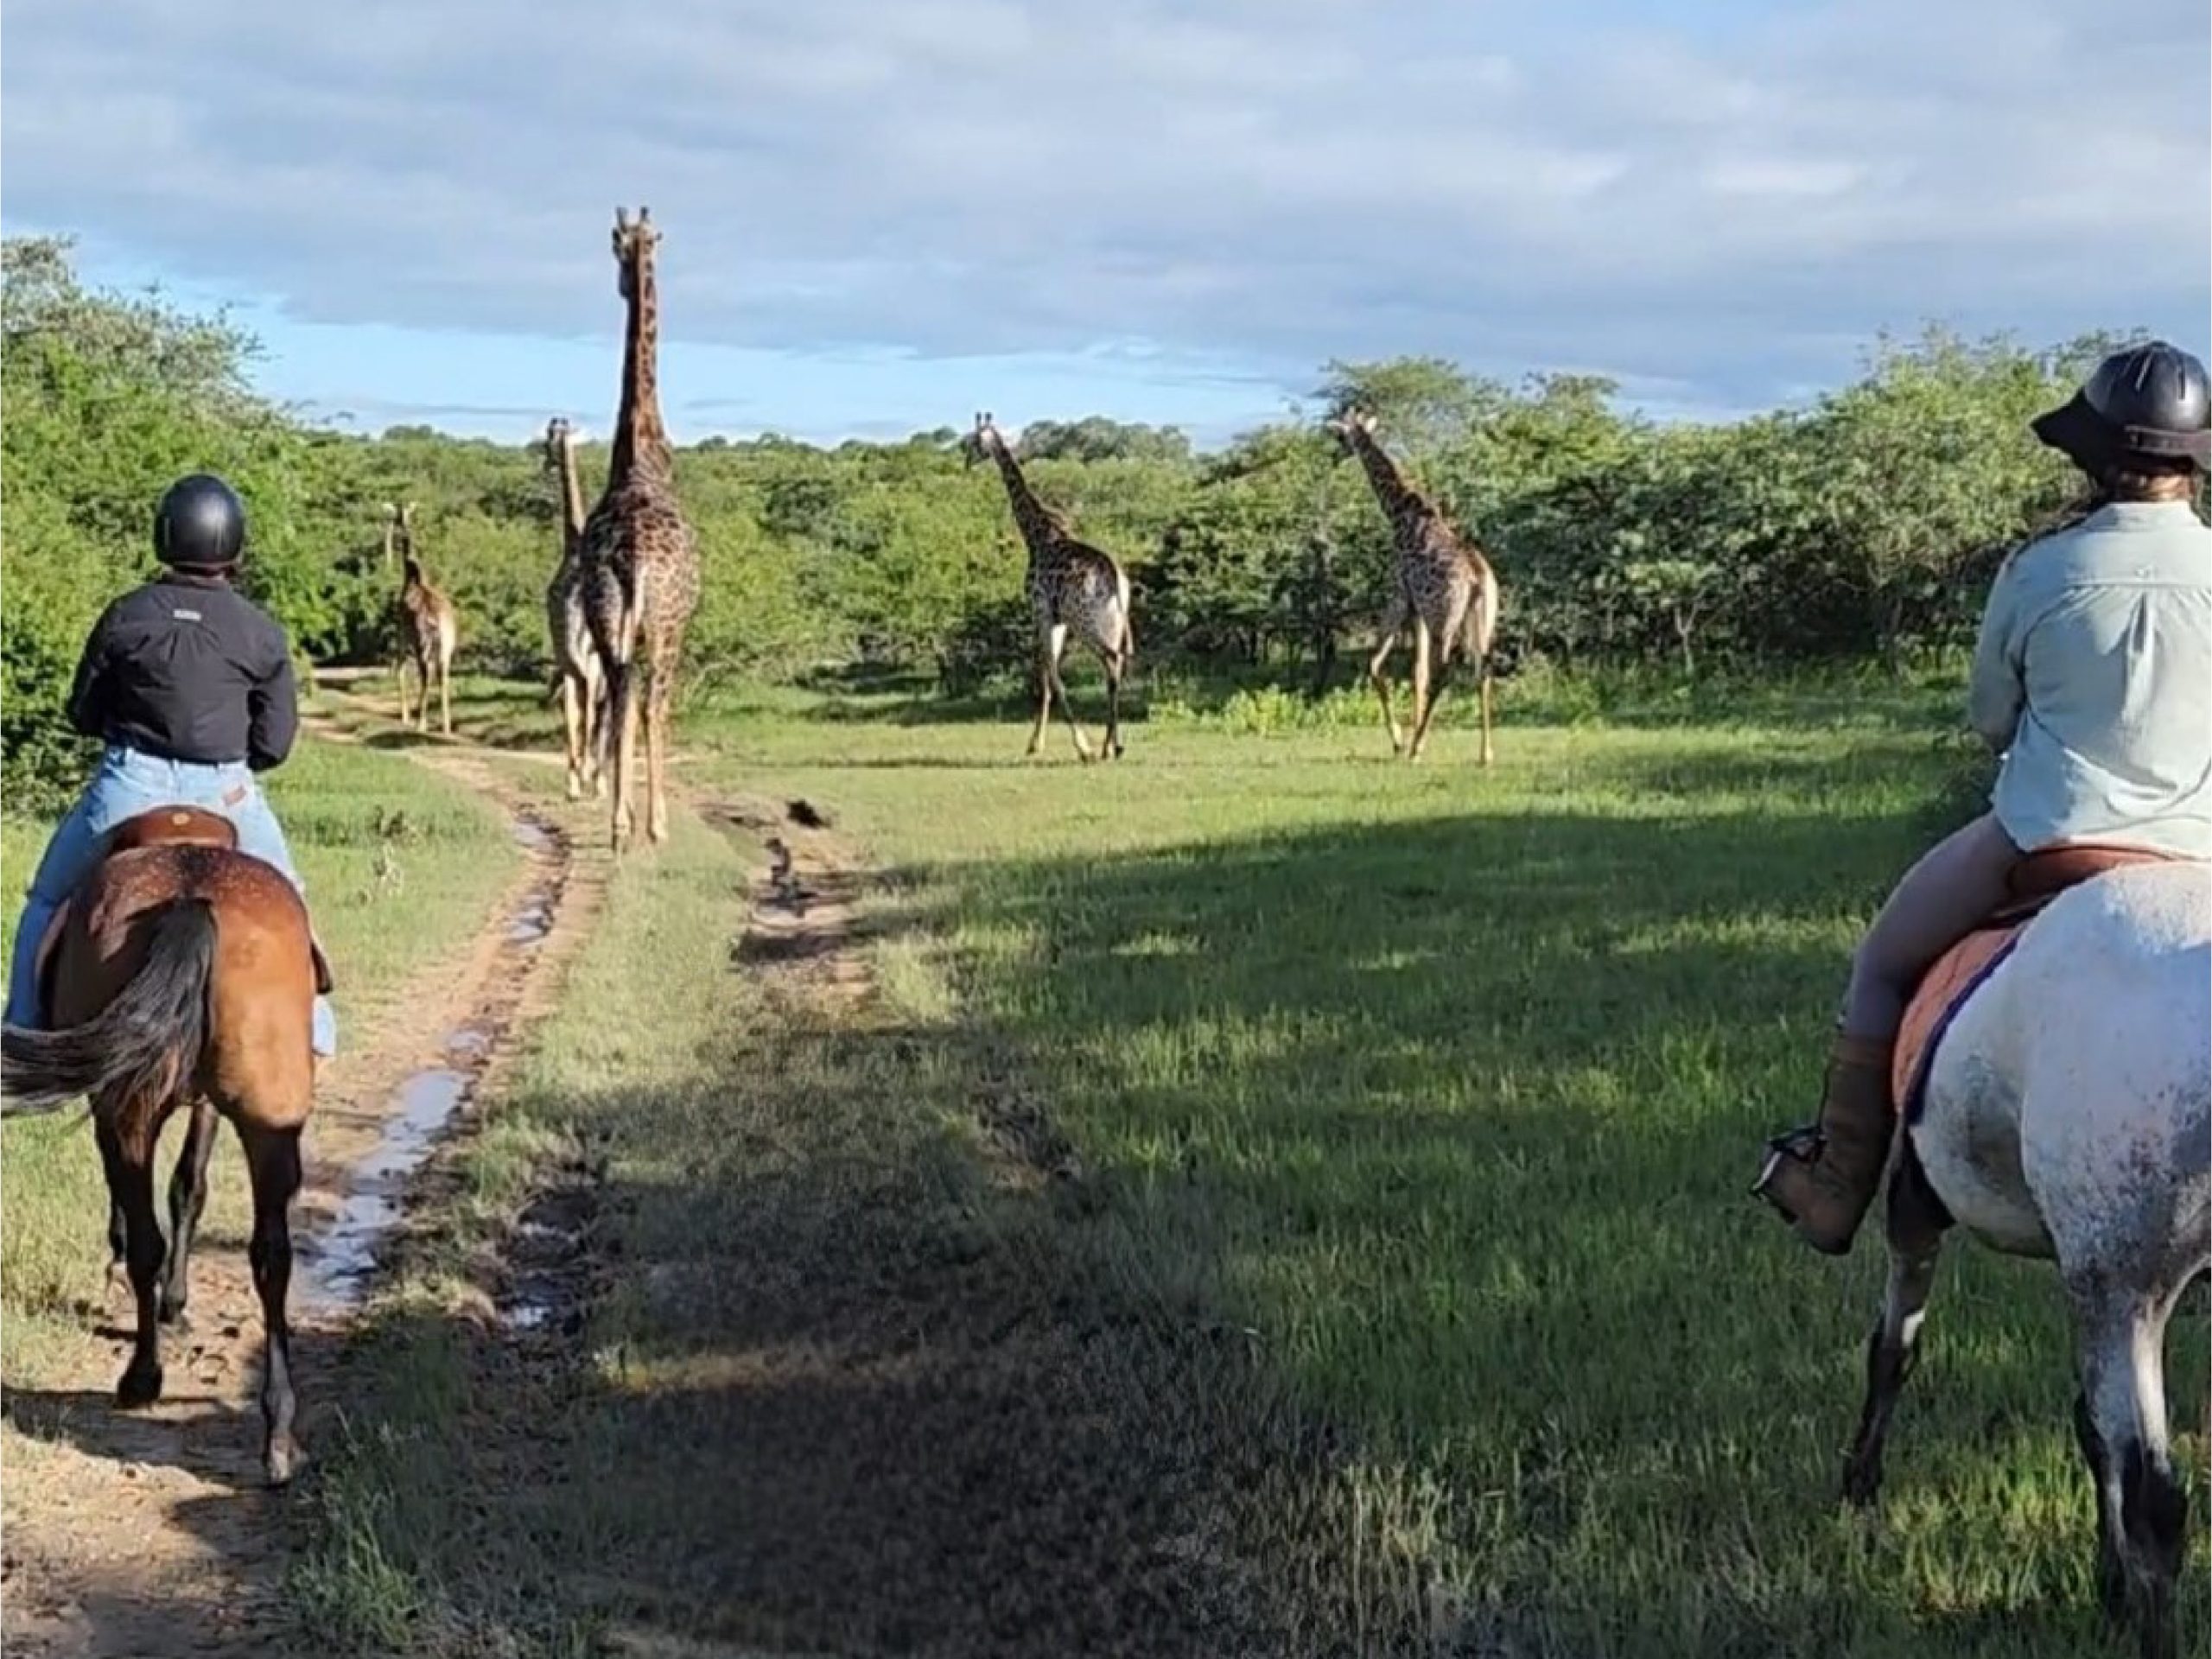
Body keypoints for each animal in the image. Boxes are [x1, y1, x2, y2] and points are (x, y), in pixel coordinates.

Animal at [1, 805, 316, 1486]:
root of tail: (191, 894)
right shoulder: (206, 1106)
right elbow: (189, 1188)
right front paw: (177, 1302)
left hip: (128, 1110)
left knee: (148, 1237)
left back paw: (142, 1377)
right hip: (268, 1120)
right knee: (272, 1256)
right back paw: (277, 1433)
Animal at [1838, 857, 2209, 1659]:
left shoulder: (1920, 1198)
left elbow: (1891, 1351)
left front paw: (1858, 1486)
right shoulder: (2080, 1271)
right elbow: (2090, 1426)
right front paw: (2107, 1589)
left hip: (2122, 1286)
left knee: (2156, 1500)